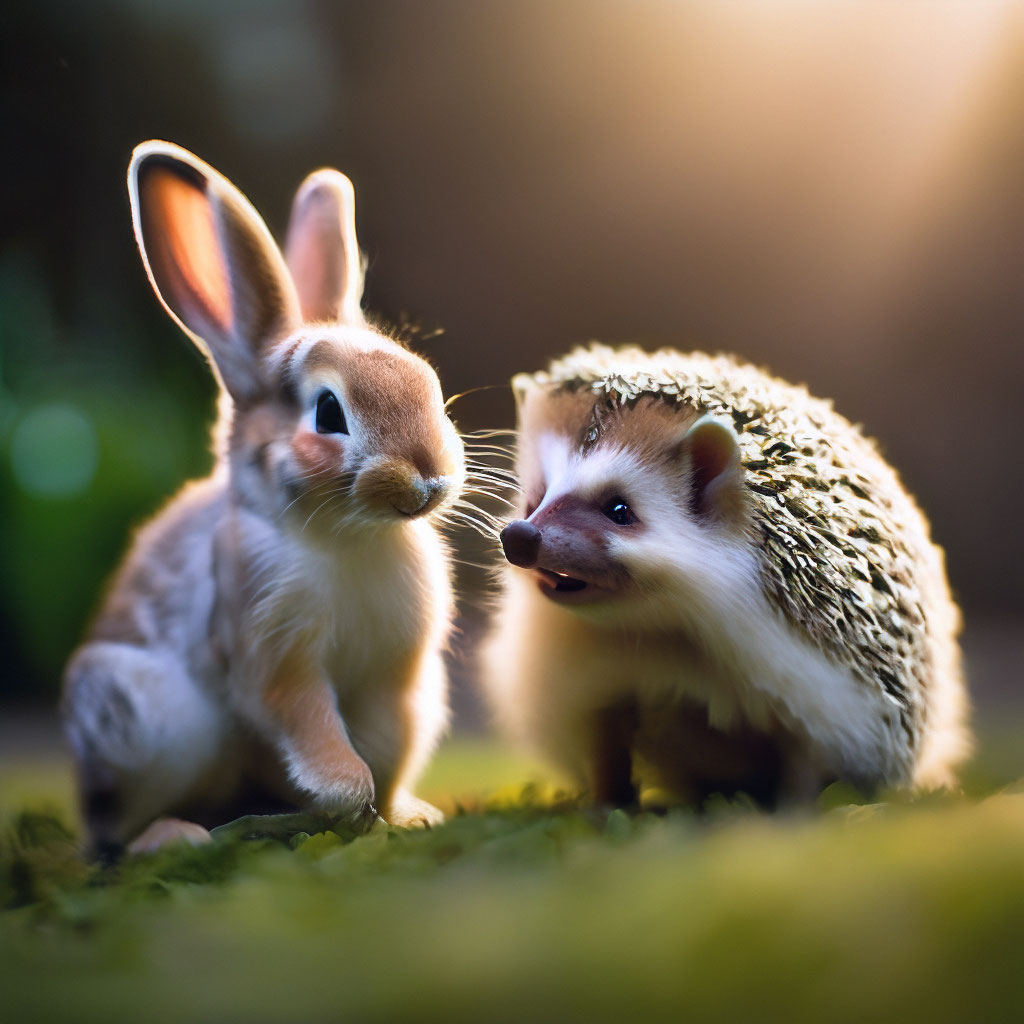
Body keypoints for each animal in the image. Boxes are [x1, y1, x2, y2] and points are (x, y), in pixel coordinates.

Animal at [61, 141, 464, 856]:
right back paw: (176, 837)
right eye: (328, 412)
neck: (347, 537)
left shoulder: (396, 682)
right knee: (116, 835)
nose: (428, 477)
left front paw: (399, 816)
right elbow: (307, 722)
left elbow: (388, 746)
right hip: (135, 717)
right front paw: (349, 799)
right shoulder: (271, 648)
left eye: (426, 380)